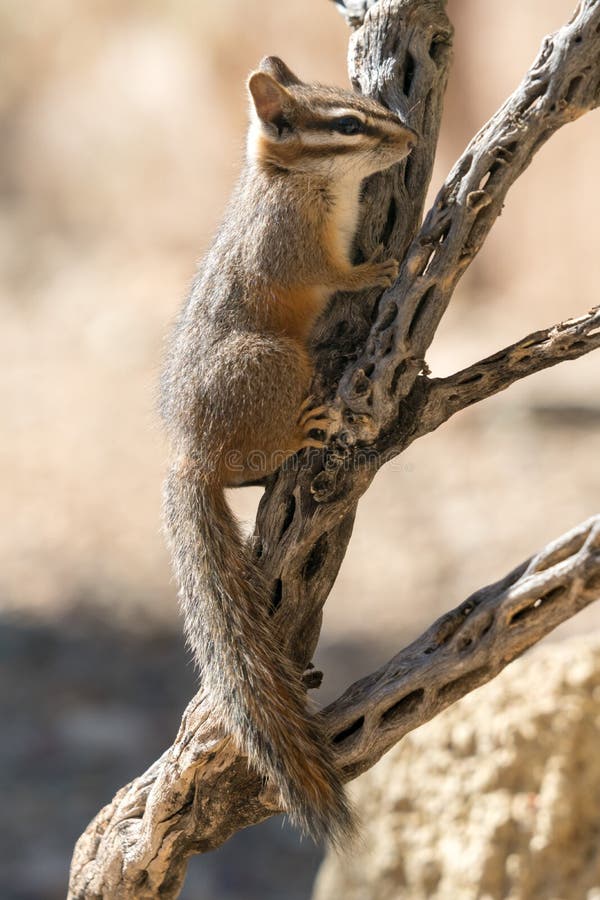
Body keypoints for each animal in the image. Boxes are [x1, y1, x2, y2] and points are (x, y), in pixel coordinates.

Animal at [161, 56, 417, 846]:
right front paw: (376, 269)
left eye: (360, 99)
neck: (289, 179)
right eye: (347, 124)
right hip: (276, 360)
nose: (412, 139)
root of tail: (188, 455)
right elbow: (329, 276)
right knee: (249, 459)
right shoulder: (293, 247)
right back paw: (300, 430)